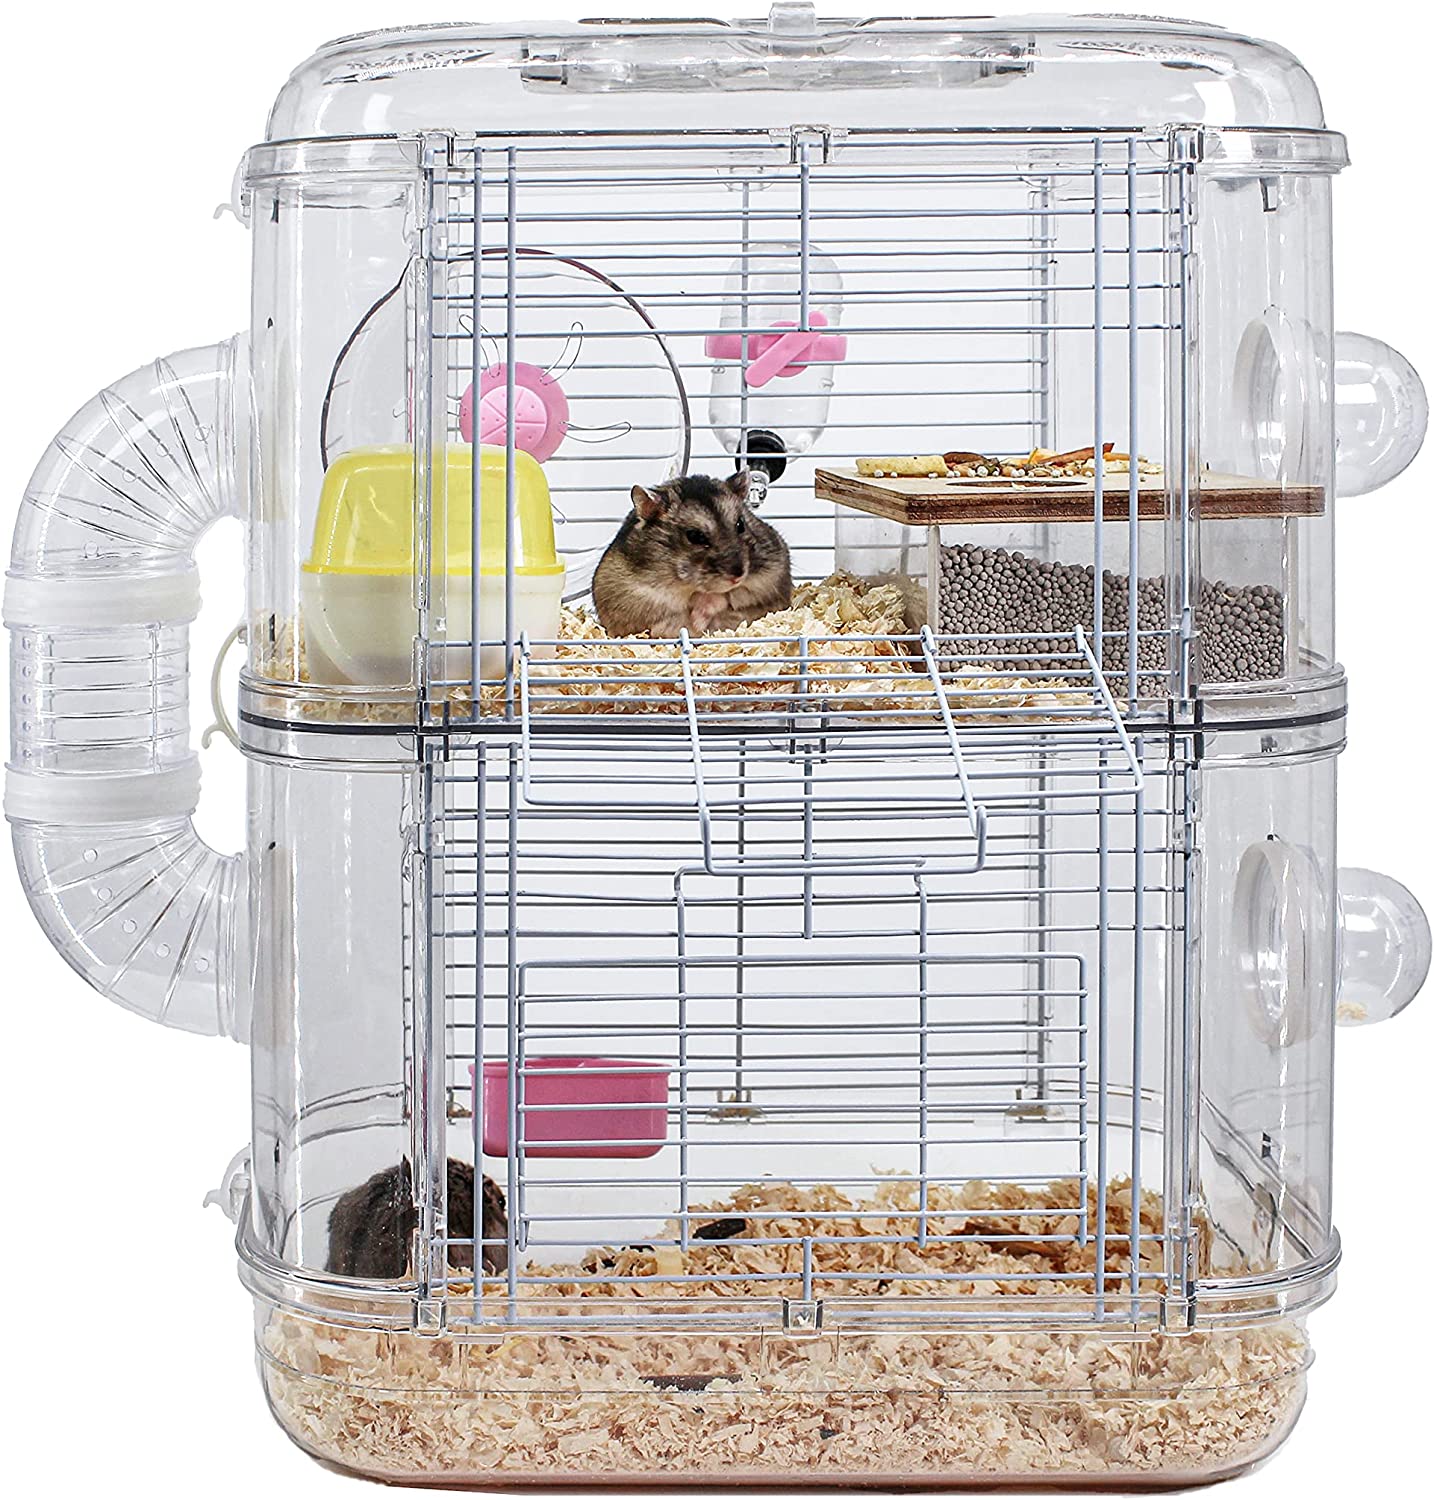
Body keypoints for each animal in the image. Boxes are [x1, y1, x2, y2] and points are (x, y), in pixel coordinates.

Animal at [592, 470, 793, 638]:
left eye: (740, 524)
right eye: (695, 536)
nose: (737, 576)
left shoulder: (773, 574)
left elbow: (732, 596)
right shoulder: (639, 594)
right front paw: (696, 623)